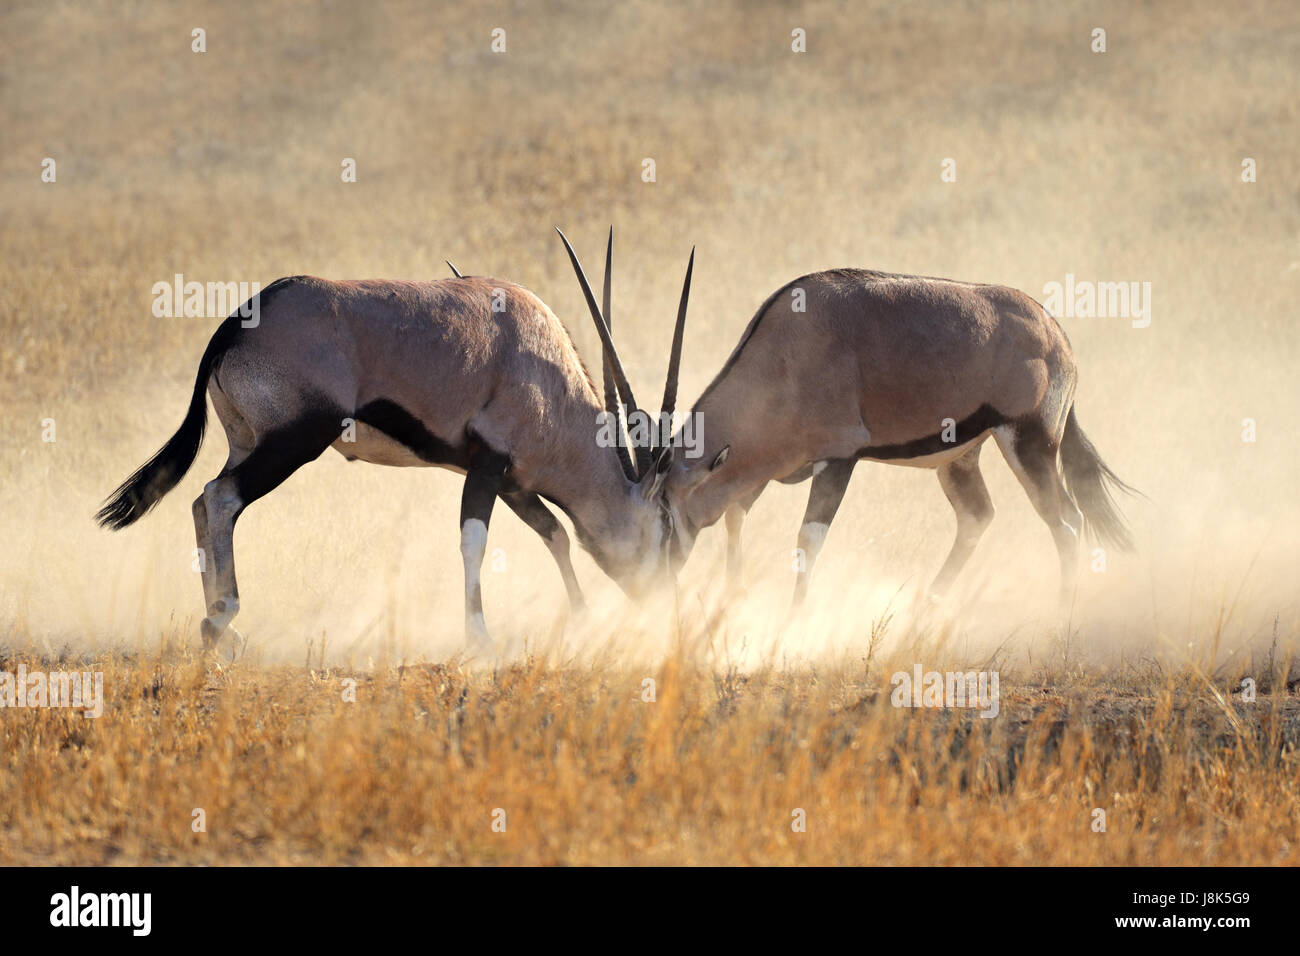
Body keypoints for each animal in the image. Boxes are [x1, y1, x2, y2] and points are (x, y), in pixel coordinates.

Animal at [95, 229, 694, 653]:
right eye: (666, 528)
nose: (662, 600)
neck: (546, 373)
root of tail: (238, 320)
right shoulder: (489, 465)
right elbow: (474, 541)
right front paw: (481, 636)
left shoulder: (513, 483)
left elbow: (555, 535)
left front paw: (582, 618)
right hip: (292, 443)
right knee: (220, 499)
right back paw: (222, 617)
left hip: (247, 443)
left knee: (203, 501)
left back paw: (221, 626)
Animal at [659, 268, 1137, 611]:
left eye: (663, 512)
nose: (655, 578)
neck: (785, 354)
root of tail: (1056, 332)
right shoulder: (763, 468)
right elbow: (735, 515)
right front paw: (733, 599)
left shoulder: (838, 459)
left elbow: (808, 537)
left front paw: (794, 619)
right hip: (960, 456)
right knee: (978, 515)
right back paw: (928, 605)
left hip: (1029, 442)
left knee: (1066, 520)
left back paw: (1059, 617)